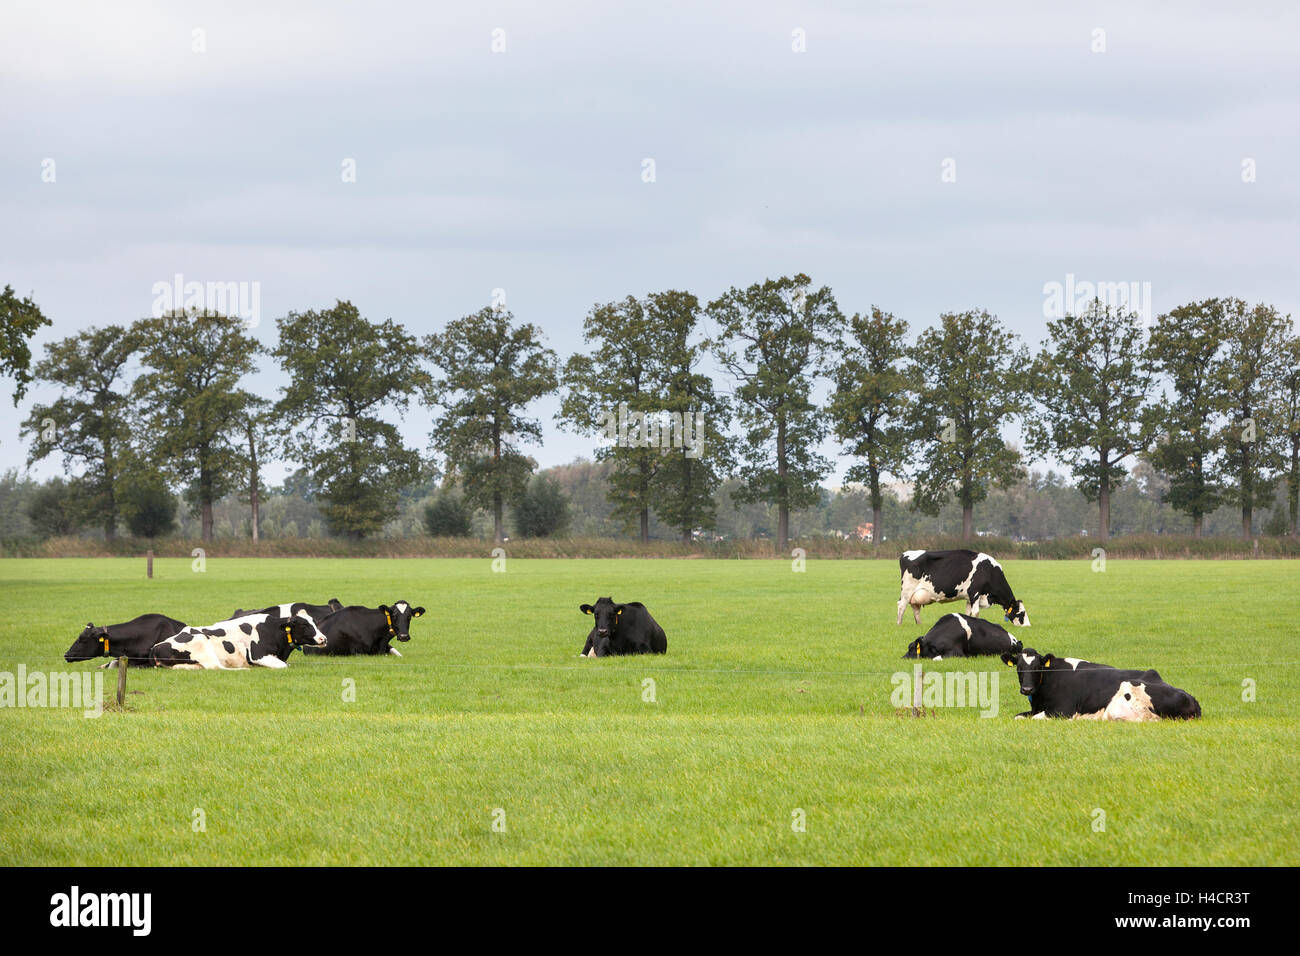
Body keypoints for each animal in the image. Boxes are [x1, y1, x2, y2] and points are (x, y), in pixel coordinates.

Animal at [150, 612, 322, 669]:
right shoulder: (258, 655)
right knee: (216, 667)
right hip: (202, 643)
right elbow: (284, 666)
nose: (323, 638)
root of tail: (156, 647)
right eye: (304, 624)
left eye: (314, 622)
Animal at [897, 549, 1029, 626]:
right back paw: (899, 624)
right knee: (902, 606)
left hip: (915, 594)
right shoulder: (974, 592)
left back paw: (919, 625)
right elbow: (976, 612)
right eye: (1022, 613)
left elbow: (968, 613)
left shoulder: (969, 597)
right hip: (907, 590)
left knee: (915, 608)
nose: (1028, 626)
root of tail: (905, 553)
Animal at [1001, 647, 1201, 719]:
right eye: (1019, 667)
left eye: (1038, 667)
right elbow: (1018, 716)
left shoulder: (1062, 712)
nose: (1027, 689)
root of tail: (1192, 699)